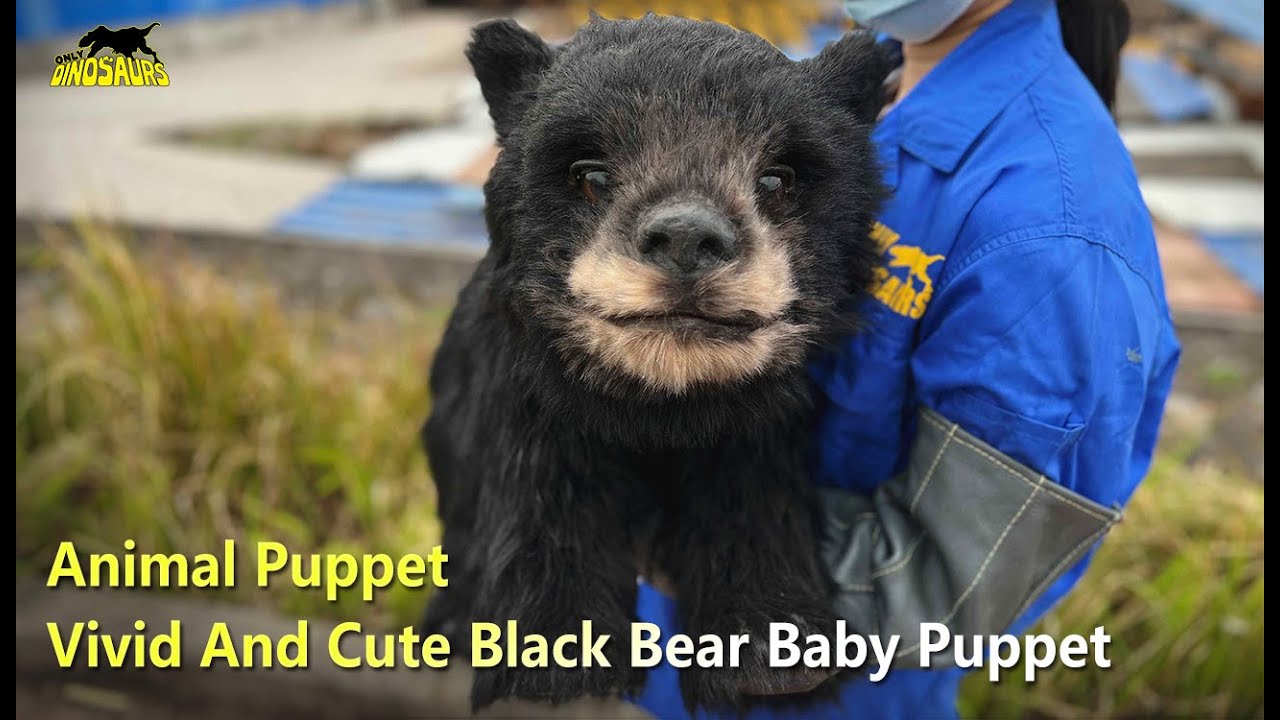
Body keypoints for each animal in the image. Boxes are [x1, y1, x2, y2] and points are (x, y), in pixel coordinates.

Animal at [421, 14, 890, 713]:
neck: (660, 411)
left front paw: (771, 649)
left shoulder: (749, 443)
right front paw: (554, 654)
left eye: (777, 178)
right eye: (589, 175)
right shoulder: (532, 424)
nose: (688, 237)